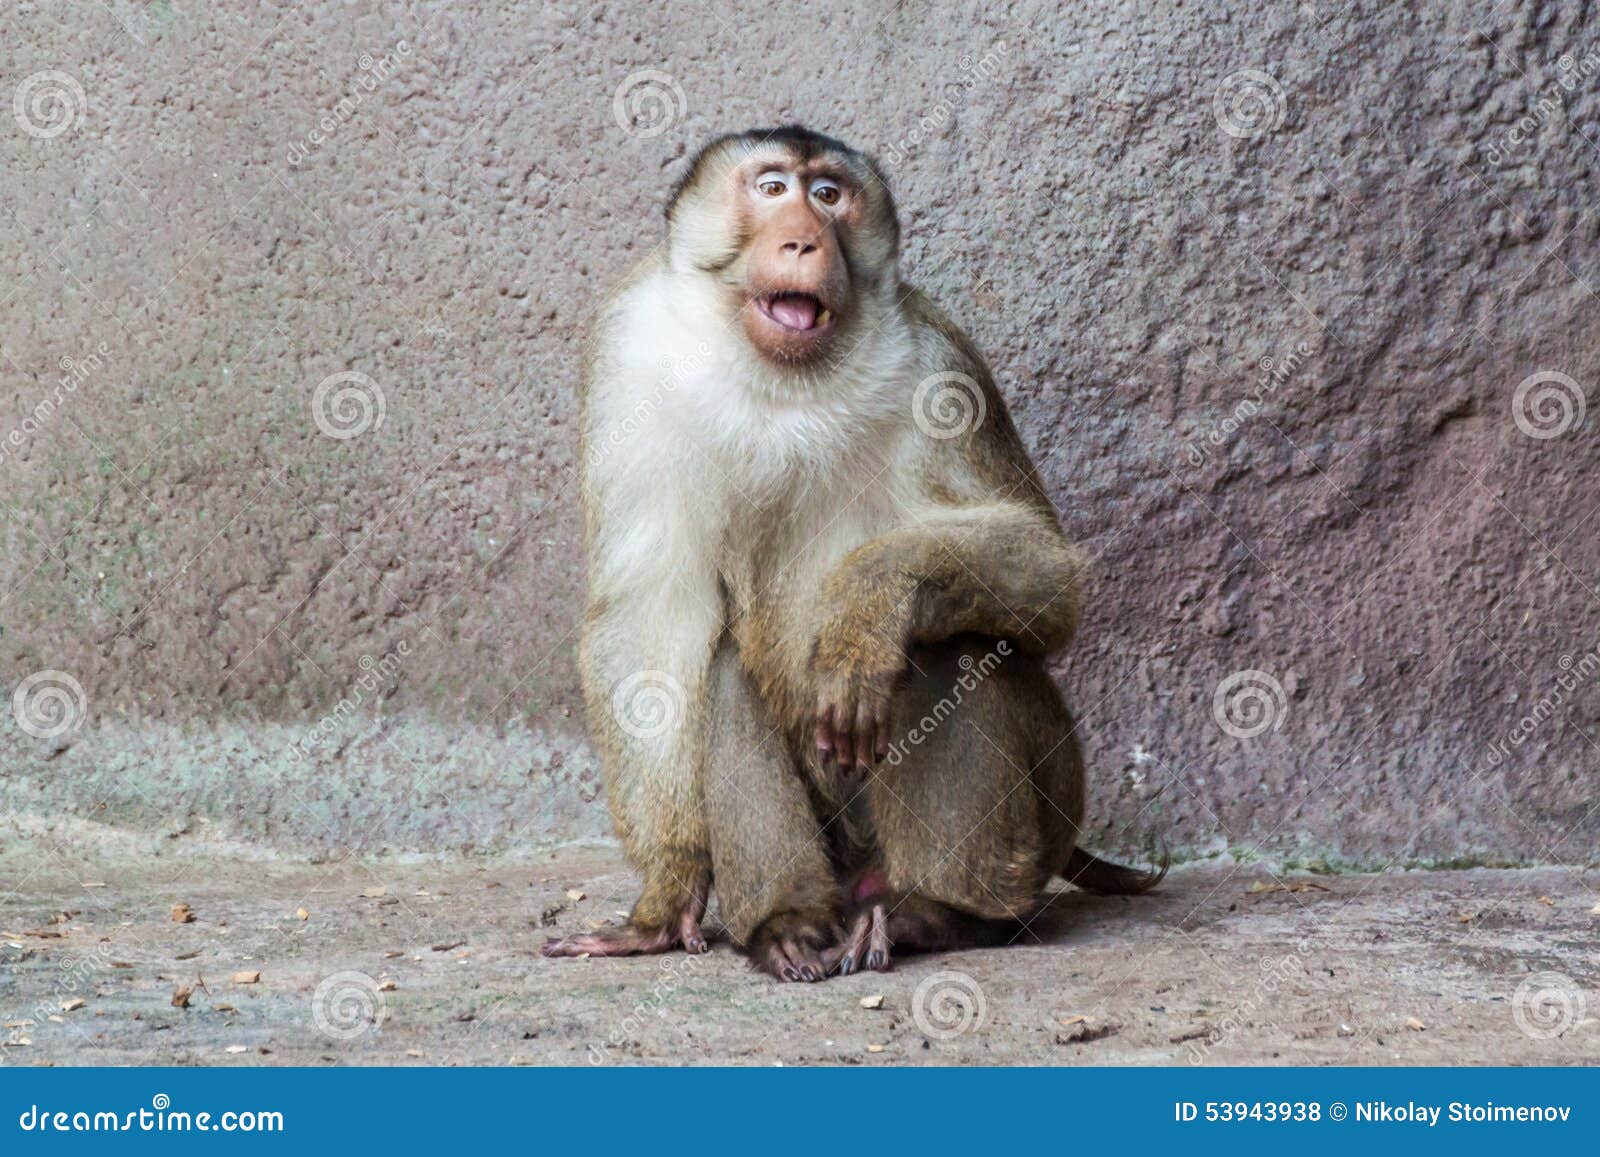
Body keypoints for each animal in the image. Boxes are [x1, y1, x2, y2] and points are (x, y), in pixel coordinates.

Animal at [542, 126, 1163, 980]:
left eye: (830, 194)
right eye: (772, 186)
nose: (804, 239)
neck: (781, 380)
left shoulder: (940, 362)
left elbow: (1046, 576)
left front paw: (865, 608)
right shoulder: (629, 350)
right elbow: (648, 621)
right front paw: (669, 889)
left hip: (1055, 797)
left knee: (951, 639)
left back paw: (938, 911)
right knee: (728, 665)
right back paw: (790, 921)